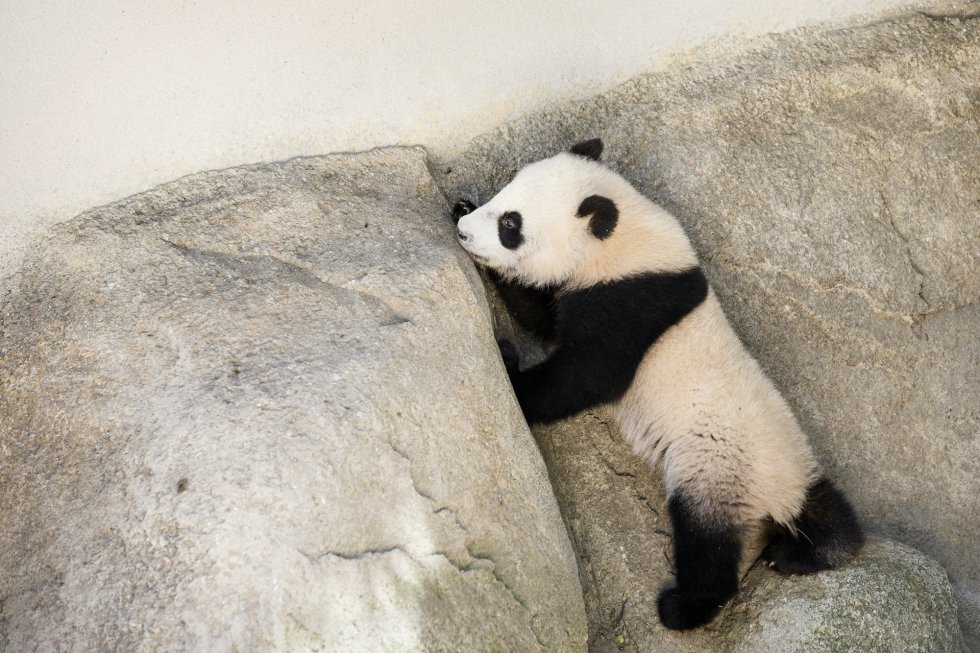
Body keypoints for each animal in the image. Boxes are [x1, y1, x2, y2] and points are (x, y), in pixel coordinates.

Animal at [452, 139, 863, 630]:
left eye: (510, 224)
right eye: (503, 192)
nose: (463, 232)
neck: (627, 238)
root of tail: (778, 493)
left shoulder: (631, 300)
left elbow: (587, 375)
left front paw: (512, 373)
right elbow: (543, 317)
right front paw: (461, 208)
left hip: (716, 468)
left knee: (705, 543)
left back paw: (684, 607)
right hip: (795, 455)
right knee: (828, 507)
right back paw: (810, 552)